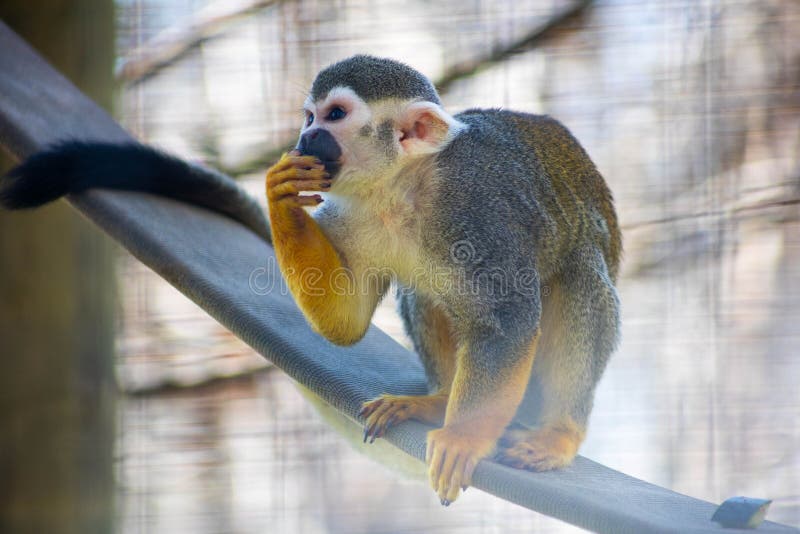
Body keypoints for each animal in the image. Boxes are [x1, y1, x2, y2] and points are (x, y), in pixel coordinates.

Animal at [1, 54, 621, 507]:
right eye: (309, 118)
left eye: (336, 115)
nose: (304, 140)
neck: (403, 186)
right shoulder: (352, 209)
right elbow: (345, 321)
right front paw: (280, 193)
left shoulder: (479, 209)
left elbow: (508, 319)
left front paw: (464, 437)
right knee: (423, 292)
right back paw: (439, 400)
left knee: (578, 278)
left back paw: (557, 431)